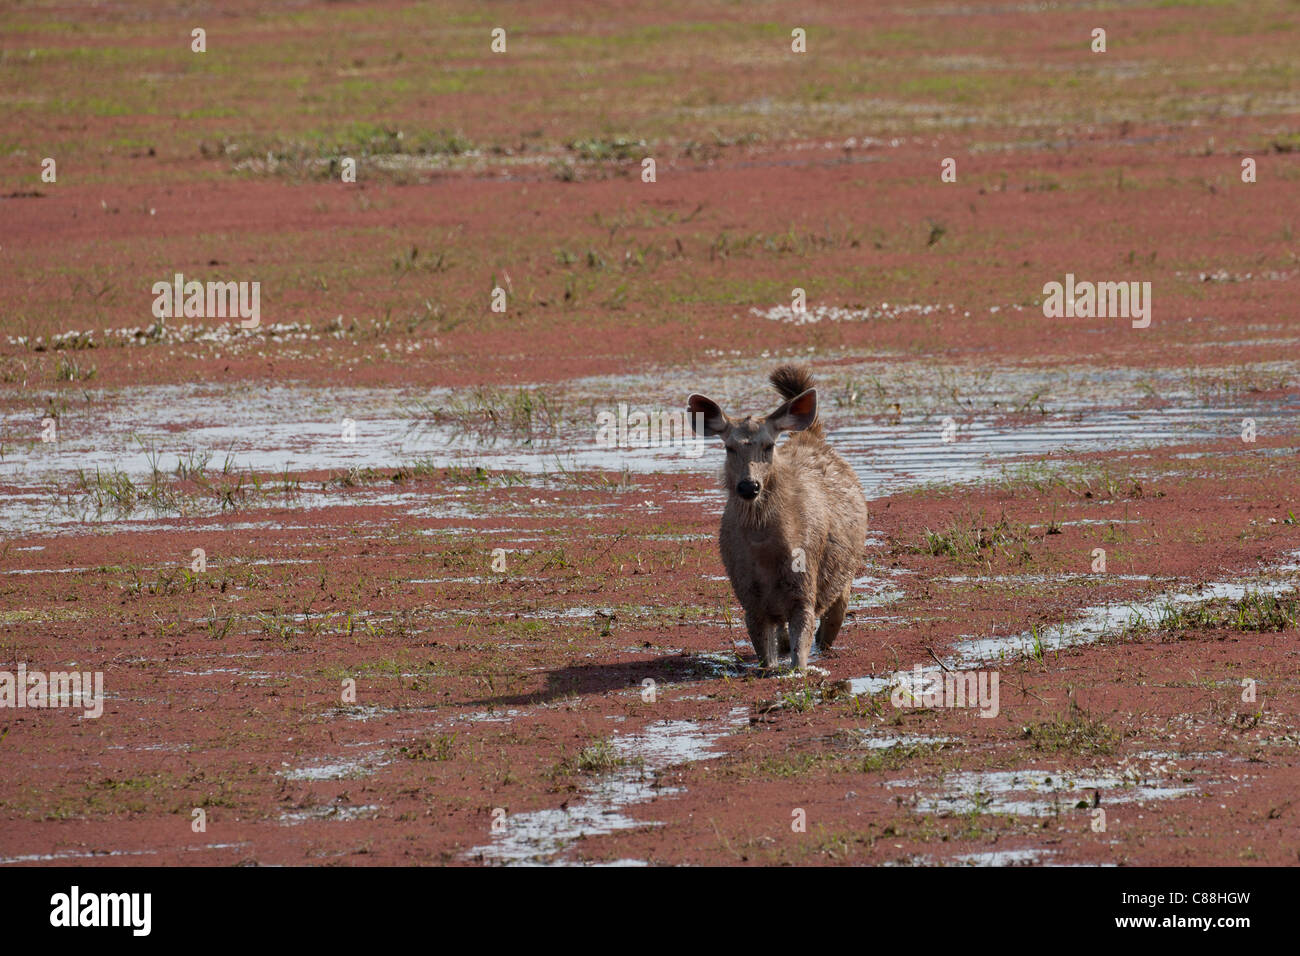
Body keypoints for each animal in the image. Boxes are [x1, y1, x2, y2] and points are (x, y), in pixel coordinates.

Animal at [688, 365, 869, 670]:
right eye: (729, 447)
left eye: (769, 445)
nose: (749, 486)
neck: (767, 558)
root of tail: (811, 435)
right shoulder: (749, 600)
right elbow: (765, 654)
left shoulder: (804, 589)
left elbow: (800, 655)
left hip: (846, 568)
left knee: (837, 608)